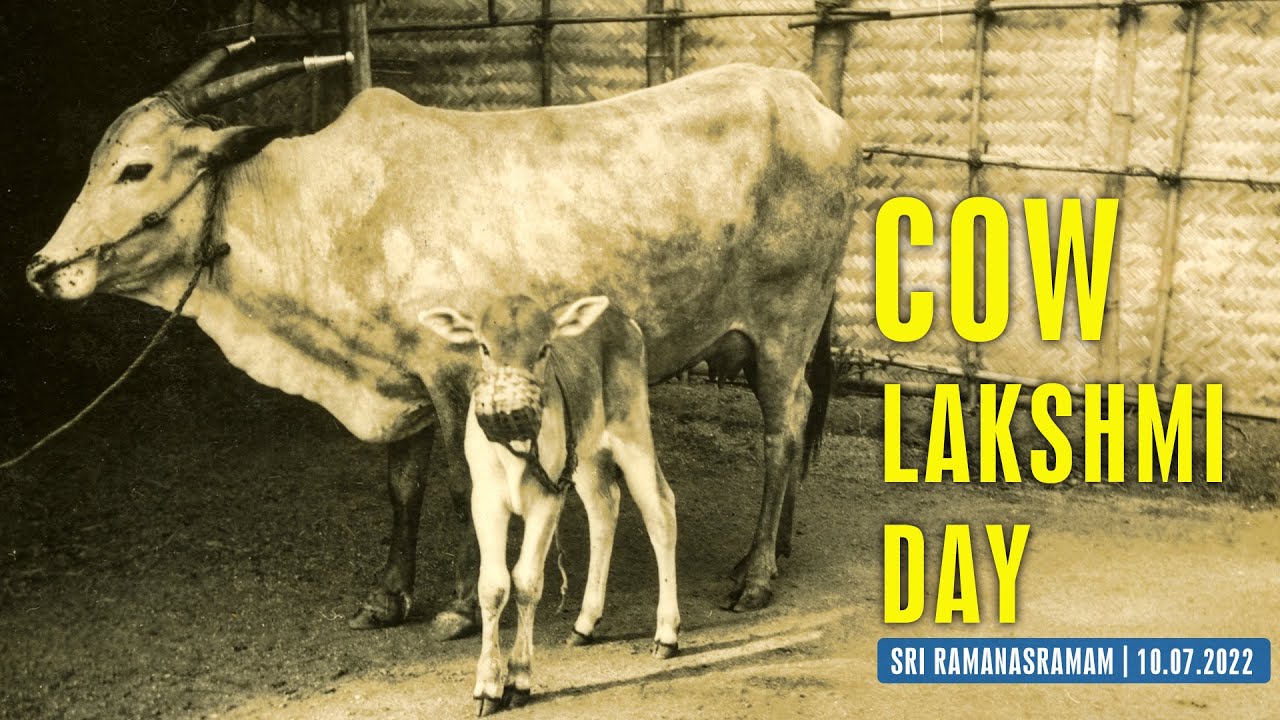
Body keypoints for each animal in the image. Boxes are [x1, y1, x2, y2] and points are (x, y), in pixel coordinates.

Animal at [25, 41, 859, 639]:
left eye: (136, 169)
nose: (42, 268)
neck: (332, 207)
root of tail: (803, 93)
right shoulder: (397, 378)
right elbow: (404, 486)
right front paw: (387, 597)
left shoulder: (456, 373)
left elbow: (463, 487)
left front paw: (459, 607)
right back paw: (774, 548)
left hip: (784, 327)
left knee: (781, 432)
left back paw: (757, 574)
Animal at [421, 294, 679, 714]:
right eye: (484, 347)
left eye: (543, 349)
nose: (509, 412)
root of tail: (622, 319)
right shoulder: (485, 498)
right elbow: (492, 585)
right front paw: (486, 686)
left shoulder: (548, 496)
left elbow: (526, 581)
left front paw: (519, 679)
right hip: (585, 455)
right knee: (604, 506)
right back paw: (585, 623)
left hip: (633, 429)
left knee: (659, 509)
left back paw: (667, 633)